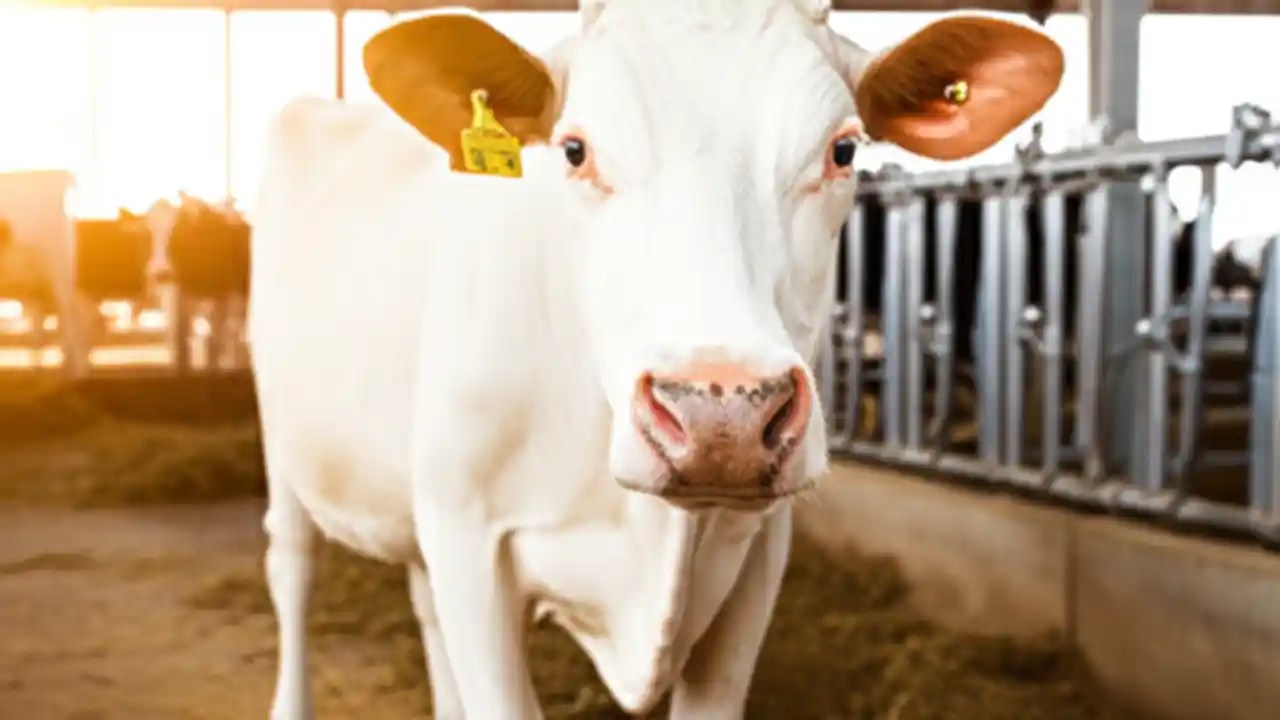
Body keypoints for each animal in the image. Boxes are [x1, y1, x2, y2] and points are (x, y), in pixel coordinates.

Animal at [246, 2, 1064, 718]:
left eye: (843, 150)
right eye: (575, 149)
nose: (719, 418)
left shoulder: (759, 559)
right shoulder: (470, 540)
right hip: (284, 437)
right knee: (291, 567)